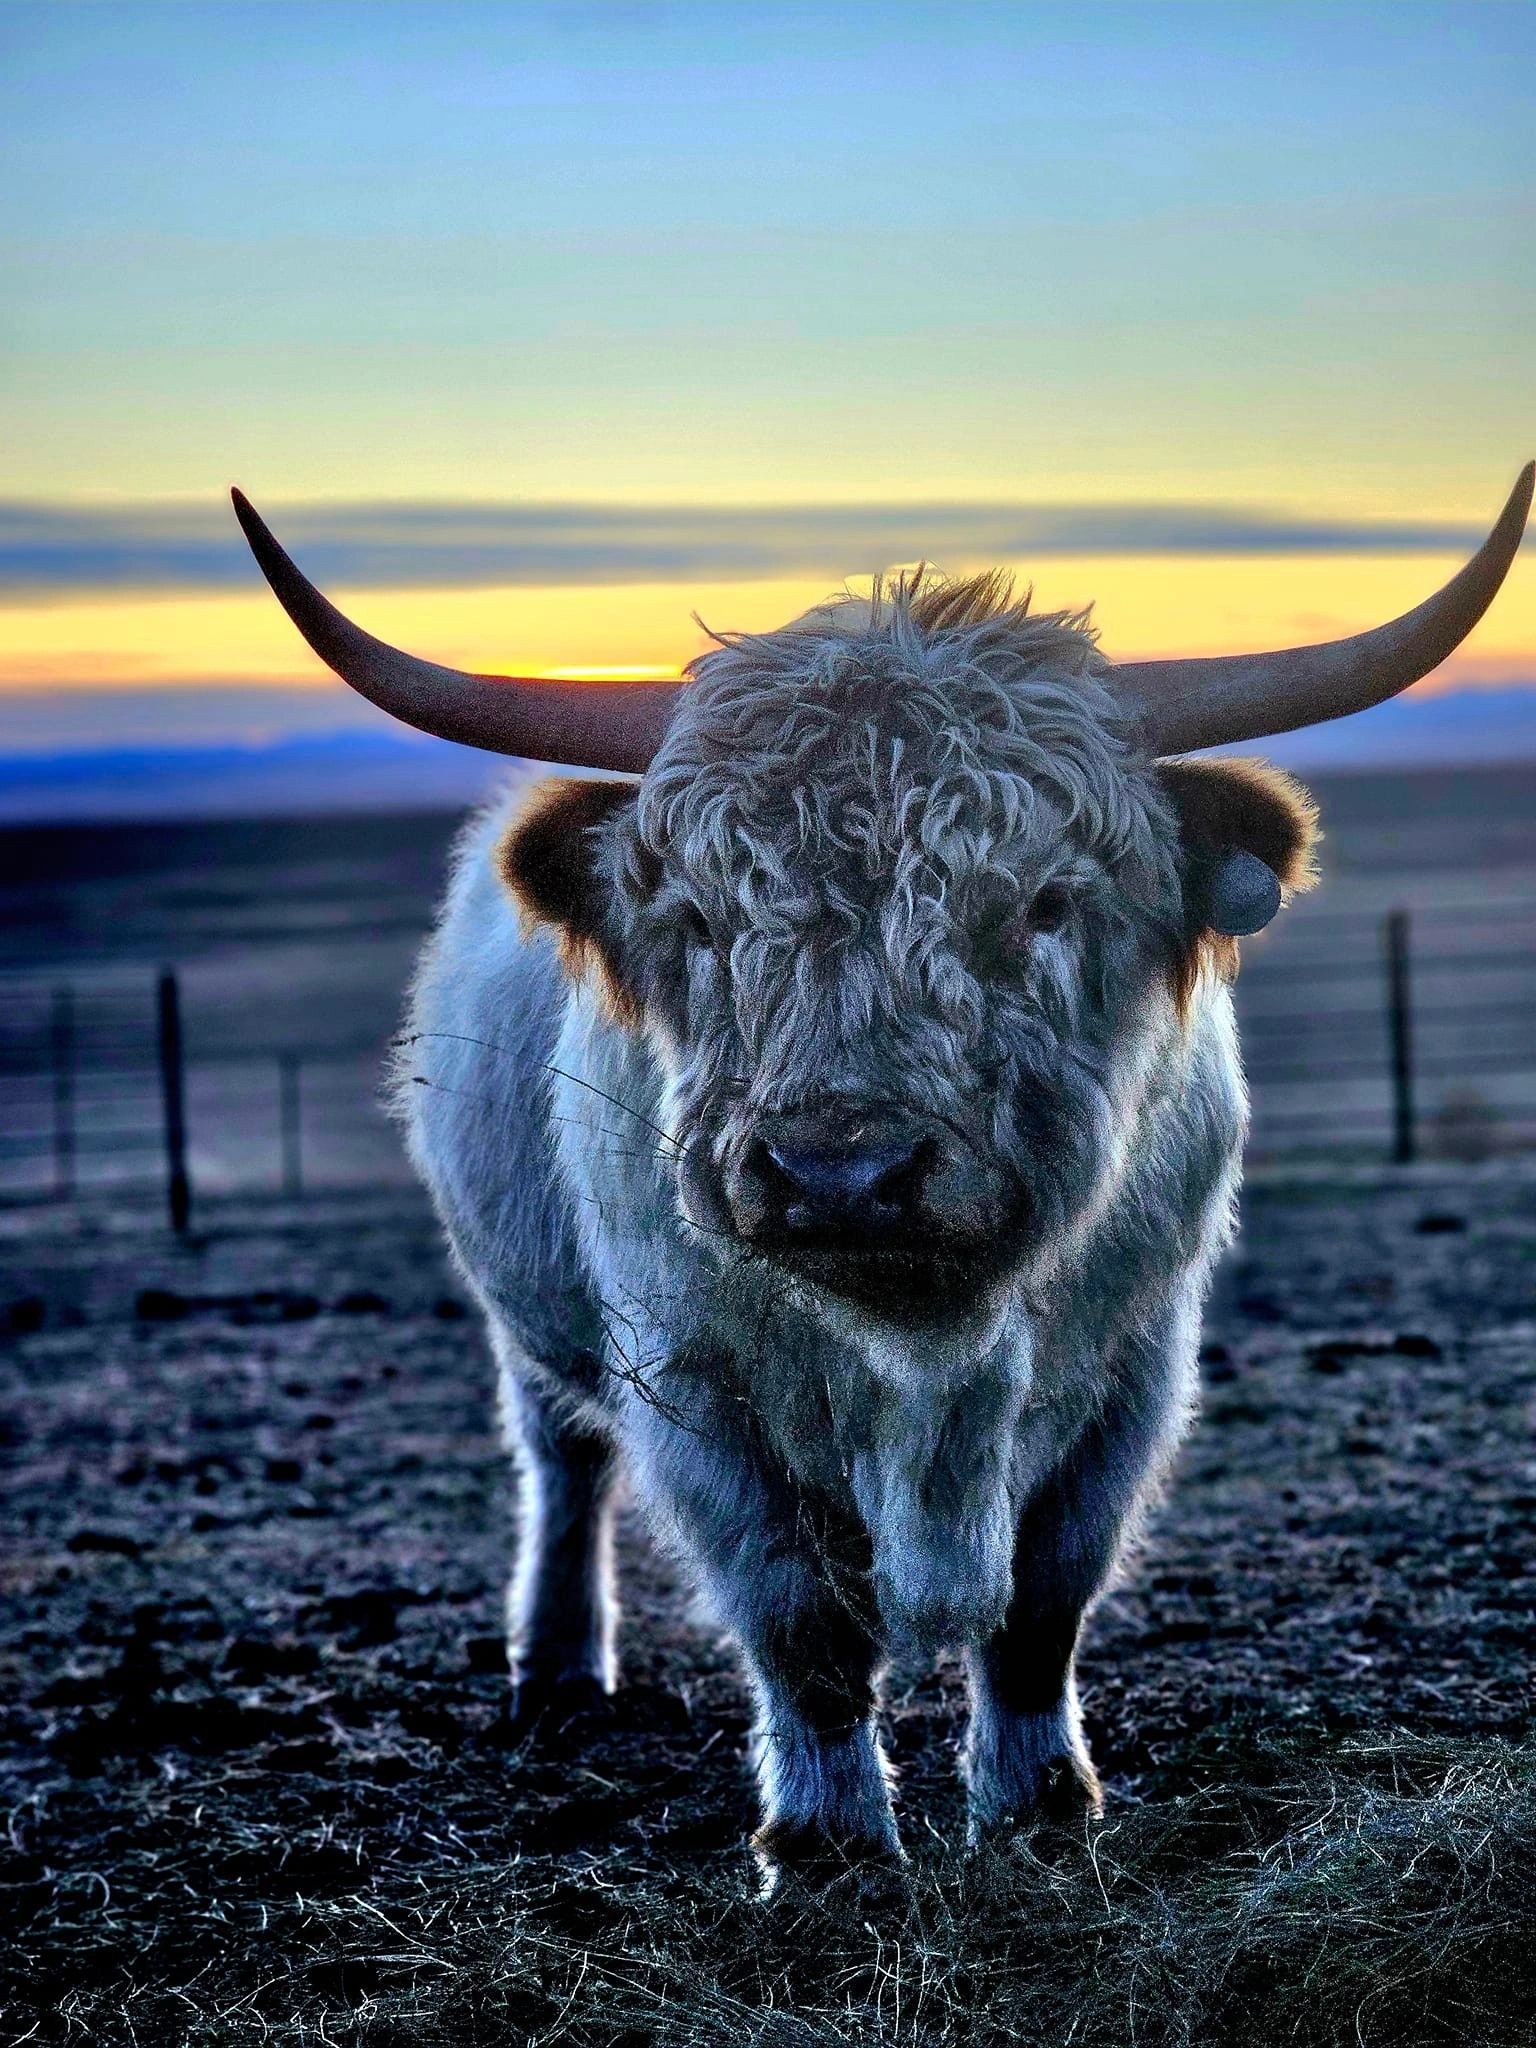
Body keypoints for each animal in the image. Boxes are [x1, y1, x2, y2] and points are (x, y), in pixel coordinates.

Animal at [232, 465, 1530, 1880]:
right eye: (699, 918)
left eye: (1044, 901)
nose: (838, 1172)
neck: (927, 1349)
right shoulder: (692, 1379)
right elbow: (798, 1622)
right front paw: (825, 1837)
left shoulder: (1137, 1357)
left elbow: (1044, 1600)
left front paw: (1040, 1800)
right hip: (533, 1321)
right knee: (562, 1467)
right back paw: (562, 1669)